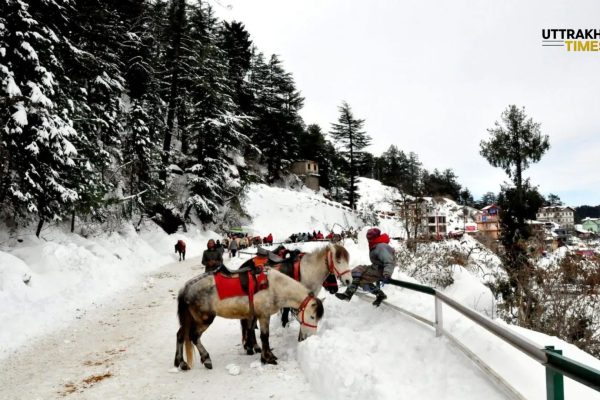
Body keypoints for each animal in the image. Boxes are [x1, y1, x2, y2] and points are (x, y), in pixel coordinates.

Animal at [173, 268, 324, 368]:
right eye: (312, 316)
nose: (310, 336)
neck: (275, 287)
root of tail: (186, 288)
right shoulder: (264, 316)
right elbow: (264, 336)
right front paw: (268, 358)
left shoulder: (255, 316)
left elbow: (253, 332)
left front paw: (262, 354)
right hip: (203, 319)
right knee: (193, 336)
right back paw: (206, 358)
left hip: (192, 319)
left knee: (180, 335)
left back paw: (181, 362)